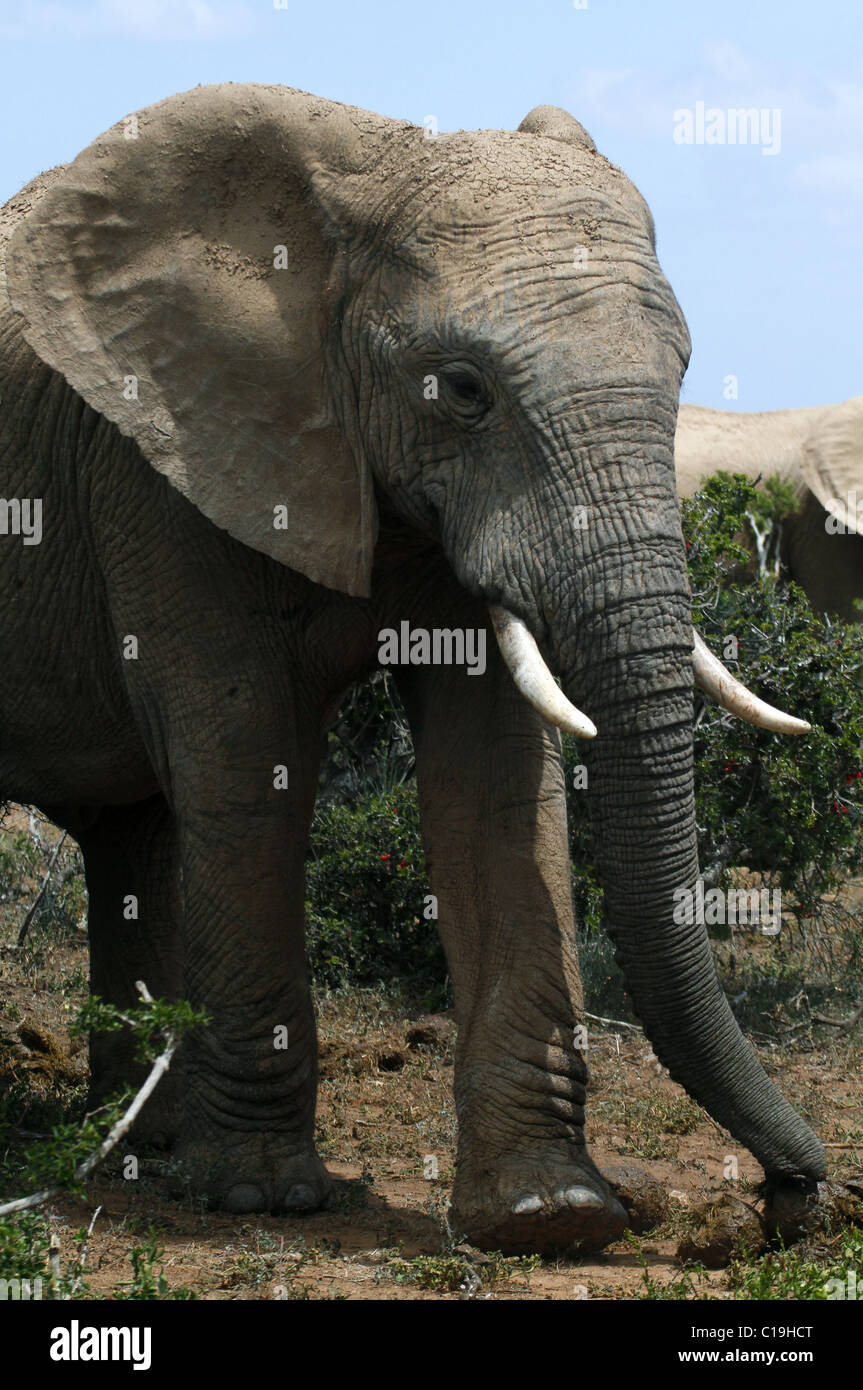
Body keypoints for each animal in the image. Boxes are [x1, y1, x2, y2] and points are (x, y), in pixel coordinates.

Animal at [0, 84, 825, 1254]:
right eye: (463, 389)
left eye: (678, 370)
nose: (791, 1198)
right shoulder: (153, 460)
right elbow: (248, 764)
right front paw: (255, 1199)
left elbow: (492, 780)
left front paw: (548, 1214)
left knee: (134, 833)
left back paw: (143, 1146)